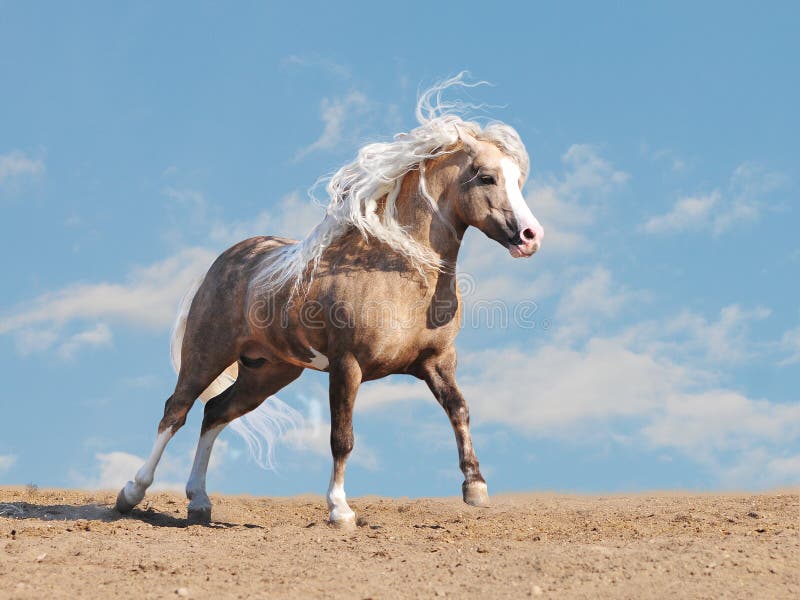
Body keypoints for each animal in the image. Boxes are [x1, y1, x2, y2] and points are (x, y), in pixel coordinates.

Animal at [115, 76, 544, 528]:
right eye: (486, 177)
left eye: (518, 180)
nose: (531, 236)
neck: (401, 272)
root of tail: (223, 263)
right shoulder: (347, 365)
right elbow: (343, 437)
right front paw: (340, 509)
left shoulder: (436, 361)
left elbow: (459, 409)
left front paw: (475, 487)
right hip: (206, 355)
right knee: (175, 411)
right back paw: (130, 493)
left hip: (267, 373)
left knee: (214, 412)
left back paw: (198, 501)